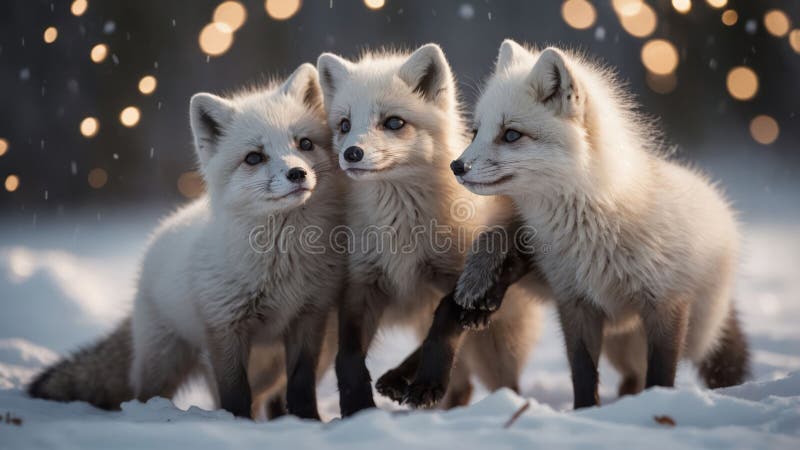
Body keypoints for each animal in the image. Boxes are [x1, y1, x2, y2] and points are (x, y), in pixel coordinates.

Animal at [28, 63, 344, 420]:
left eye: (304, 143)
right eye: (254, 157)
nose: (297, 174)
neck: (282, 263)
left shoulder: (309, 318)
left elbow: (300, 385)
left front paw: (309, 421)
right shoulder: (224, 327)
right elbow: (235, 392)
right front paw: (236, 423)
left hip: (295, 357)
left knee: (271, 395)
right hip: (165, 360)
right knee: (147, 393)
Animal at [316, 44, 546, 416]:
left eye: (393, 122)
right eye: (344, 125)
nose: (352, 153)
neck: (401, 233)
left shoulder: (454, 276)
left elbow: (445, 321)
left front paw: (428, 382)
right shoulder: (361, 284)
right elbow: (348, 355)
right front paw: (356, 407)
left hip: (495, 348)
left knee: (501, 384)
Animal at [451, 40, 750, 408]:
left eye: (511, 135)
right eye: (476, 131)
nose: (456, 166)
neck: (595, 228)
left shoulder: (666, 304)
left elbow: (660, 375)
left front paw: (656, 404)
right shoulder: (575, 303)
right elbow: (582, 372)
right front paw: (584, 412)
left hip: (695, 333)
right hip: (623, 342)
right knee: (632, 378)